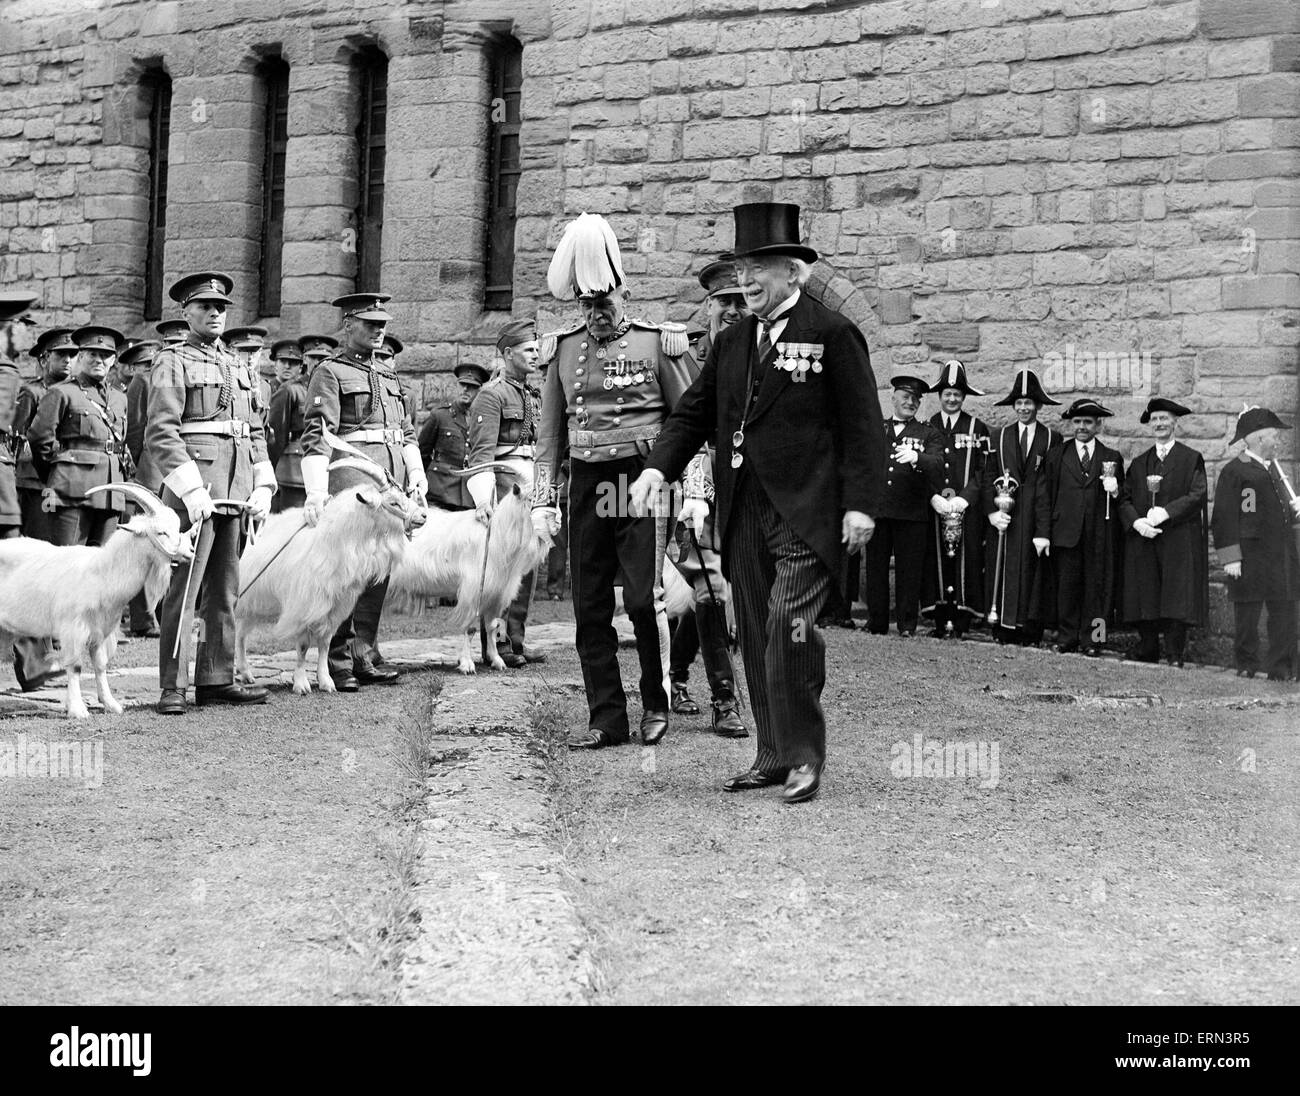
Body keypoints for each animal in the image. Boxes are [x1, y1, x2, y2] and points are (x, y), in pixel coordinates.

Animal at [0, 486, 191, 722]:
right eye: (161, 532)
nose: (190, 551)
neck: (101, 573)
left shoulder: (101, 631)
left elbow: (100, 665)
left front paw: (111, 704)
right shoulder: (73, 628)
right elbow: (76, 666)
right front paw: (78, 709)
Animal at [233, 457, 426, 696]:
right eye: (394, 503)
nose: (423, 515)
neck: (335, 539)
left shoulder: (335, 605)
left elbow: (325, 644)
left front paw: (327, 682)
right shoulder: (304, 605)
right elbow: (303, 645)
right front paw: (301, 684)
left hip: (253, 604)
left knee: (240, 634)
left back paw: (246, 674)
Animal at [384, 483, 548, 670]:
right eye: (532, 498)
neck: (497, 536)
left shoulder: (495, 594)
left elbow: (492, 627)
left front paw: (497, 660)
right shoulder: (472, 592)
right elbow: (470, 629)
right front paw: (467, 664)